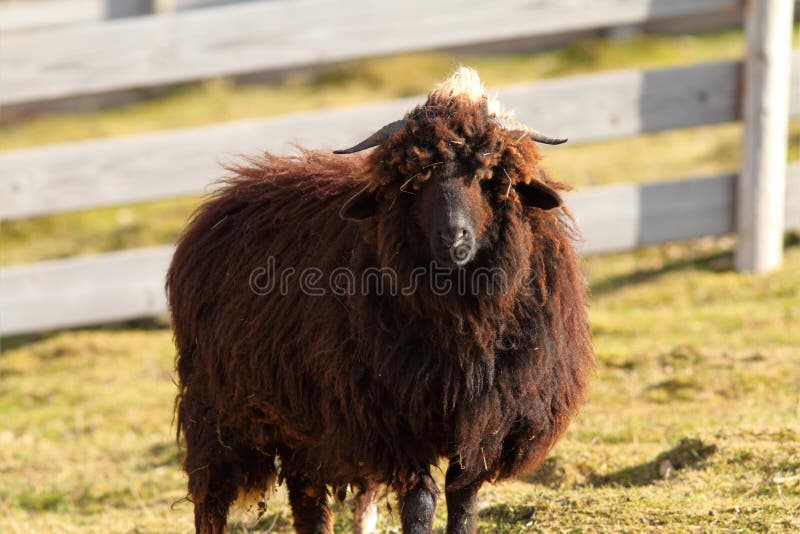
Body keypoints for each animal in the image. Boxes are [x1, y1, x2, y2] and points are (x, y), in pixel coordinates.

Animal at [167, 66, 593, 534]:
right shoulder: (396, 421)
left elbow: (463, 496)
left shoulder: (487, 416)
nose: (454, 237)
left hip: (303, 419)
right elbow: (420, 502)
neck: (463, 320)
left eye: (489, 178)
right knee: (211, 497)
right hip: (217, 407)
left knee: (305, 495)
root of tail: (225, 198)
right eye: (414, 184)